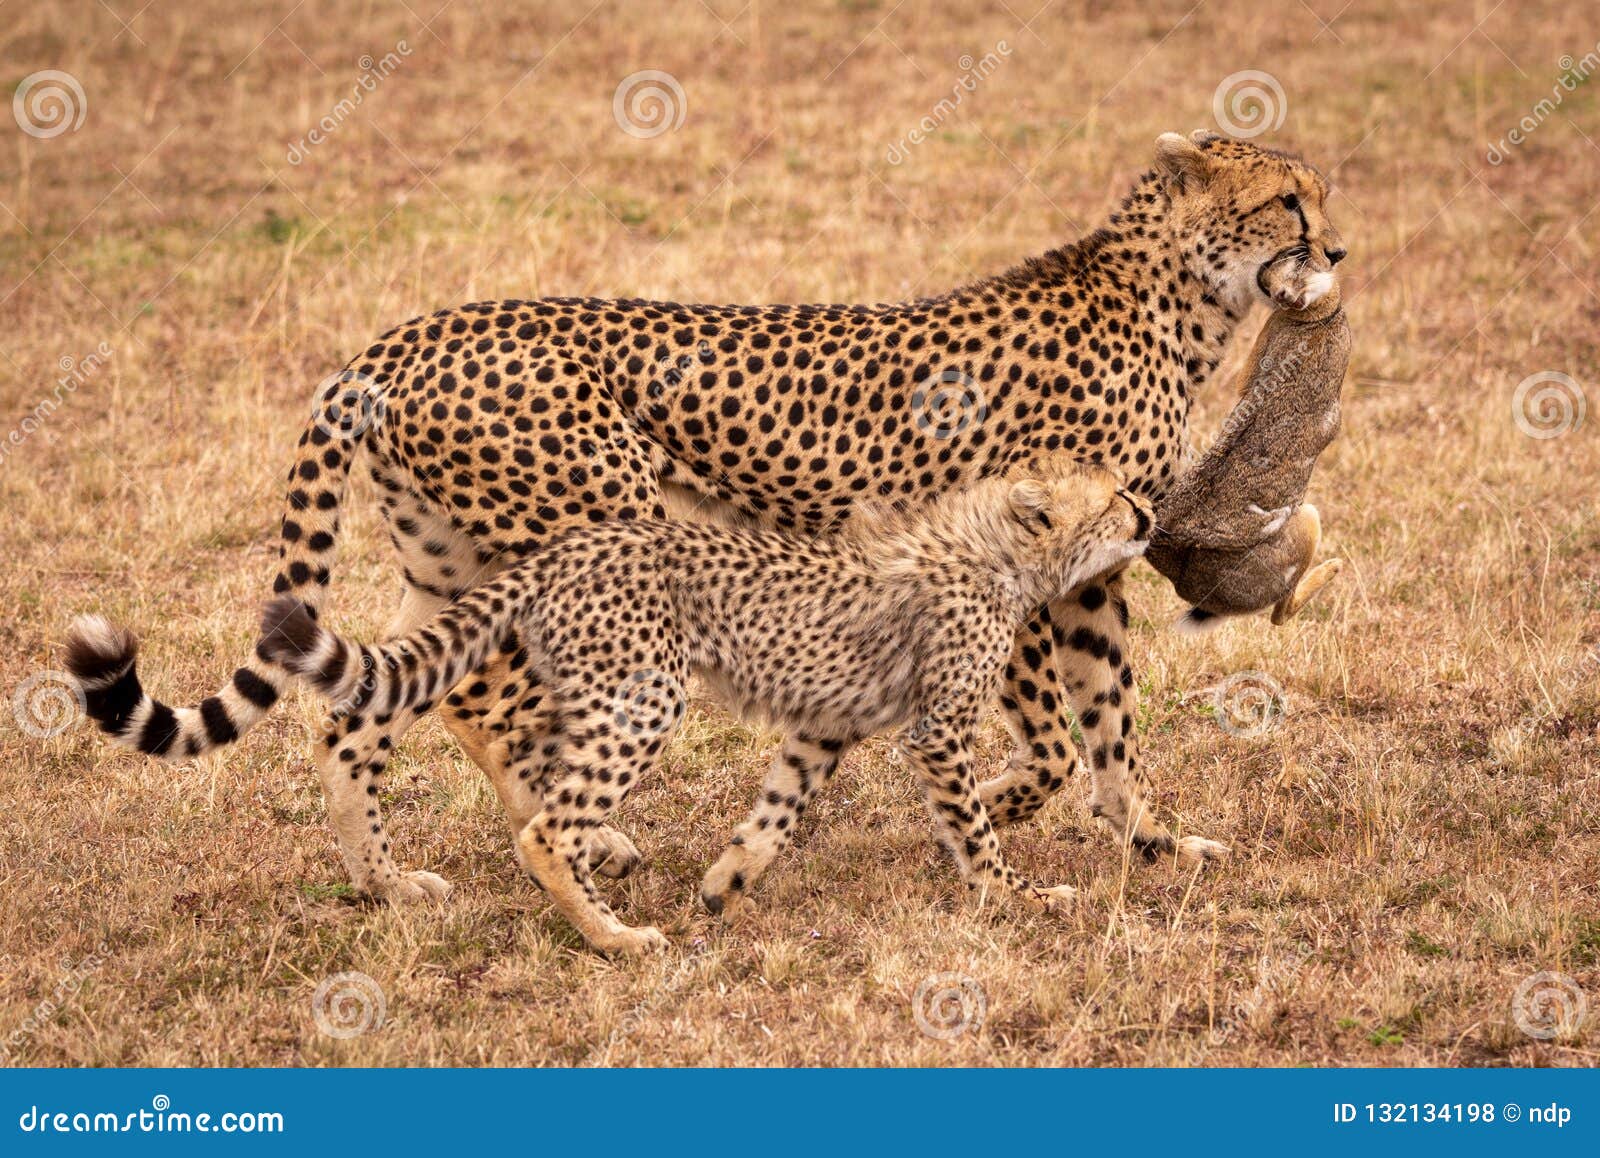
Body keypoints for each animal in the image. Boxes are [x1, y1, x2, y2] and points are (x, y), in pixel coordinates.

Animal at [63, 129, 1345, 905]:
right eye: (1285, 200)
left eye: (1318, 196)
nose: (1333, 247)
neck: (1177, 301)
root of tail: (405, 334)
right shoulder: (1032, 561)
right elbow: (1049, 739)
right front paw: (989, 819)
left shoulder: (1088, 573)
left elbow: (1111, 733)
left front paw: (1154, 846)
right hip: (601, 535)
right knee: (489, 703)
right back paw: (577, 848)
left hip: (457, 564)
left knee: (364, 707)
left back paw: (392, 884)